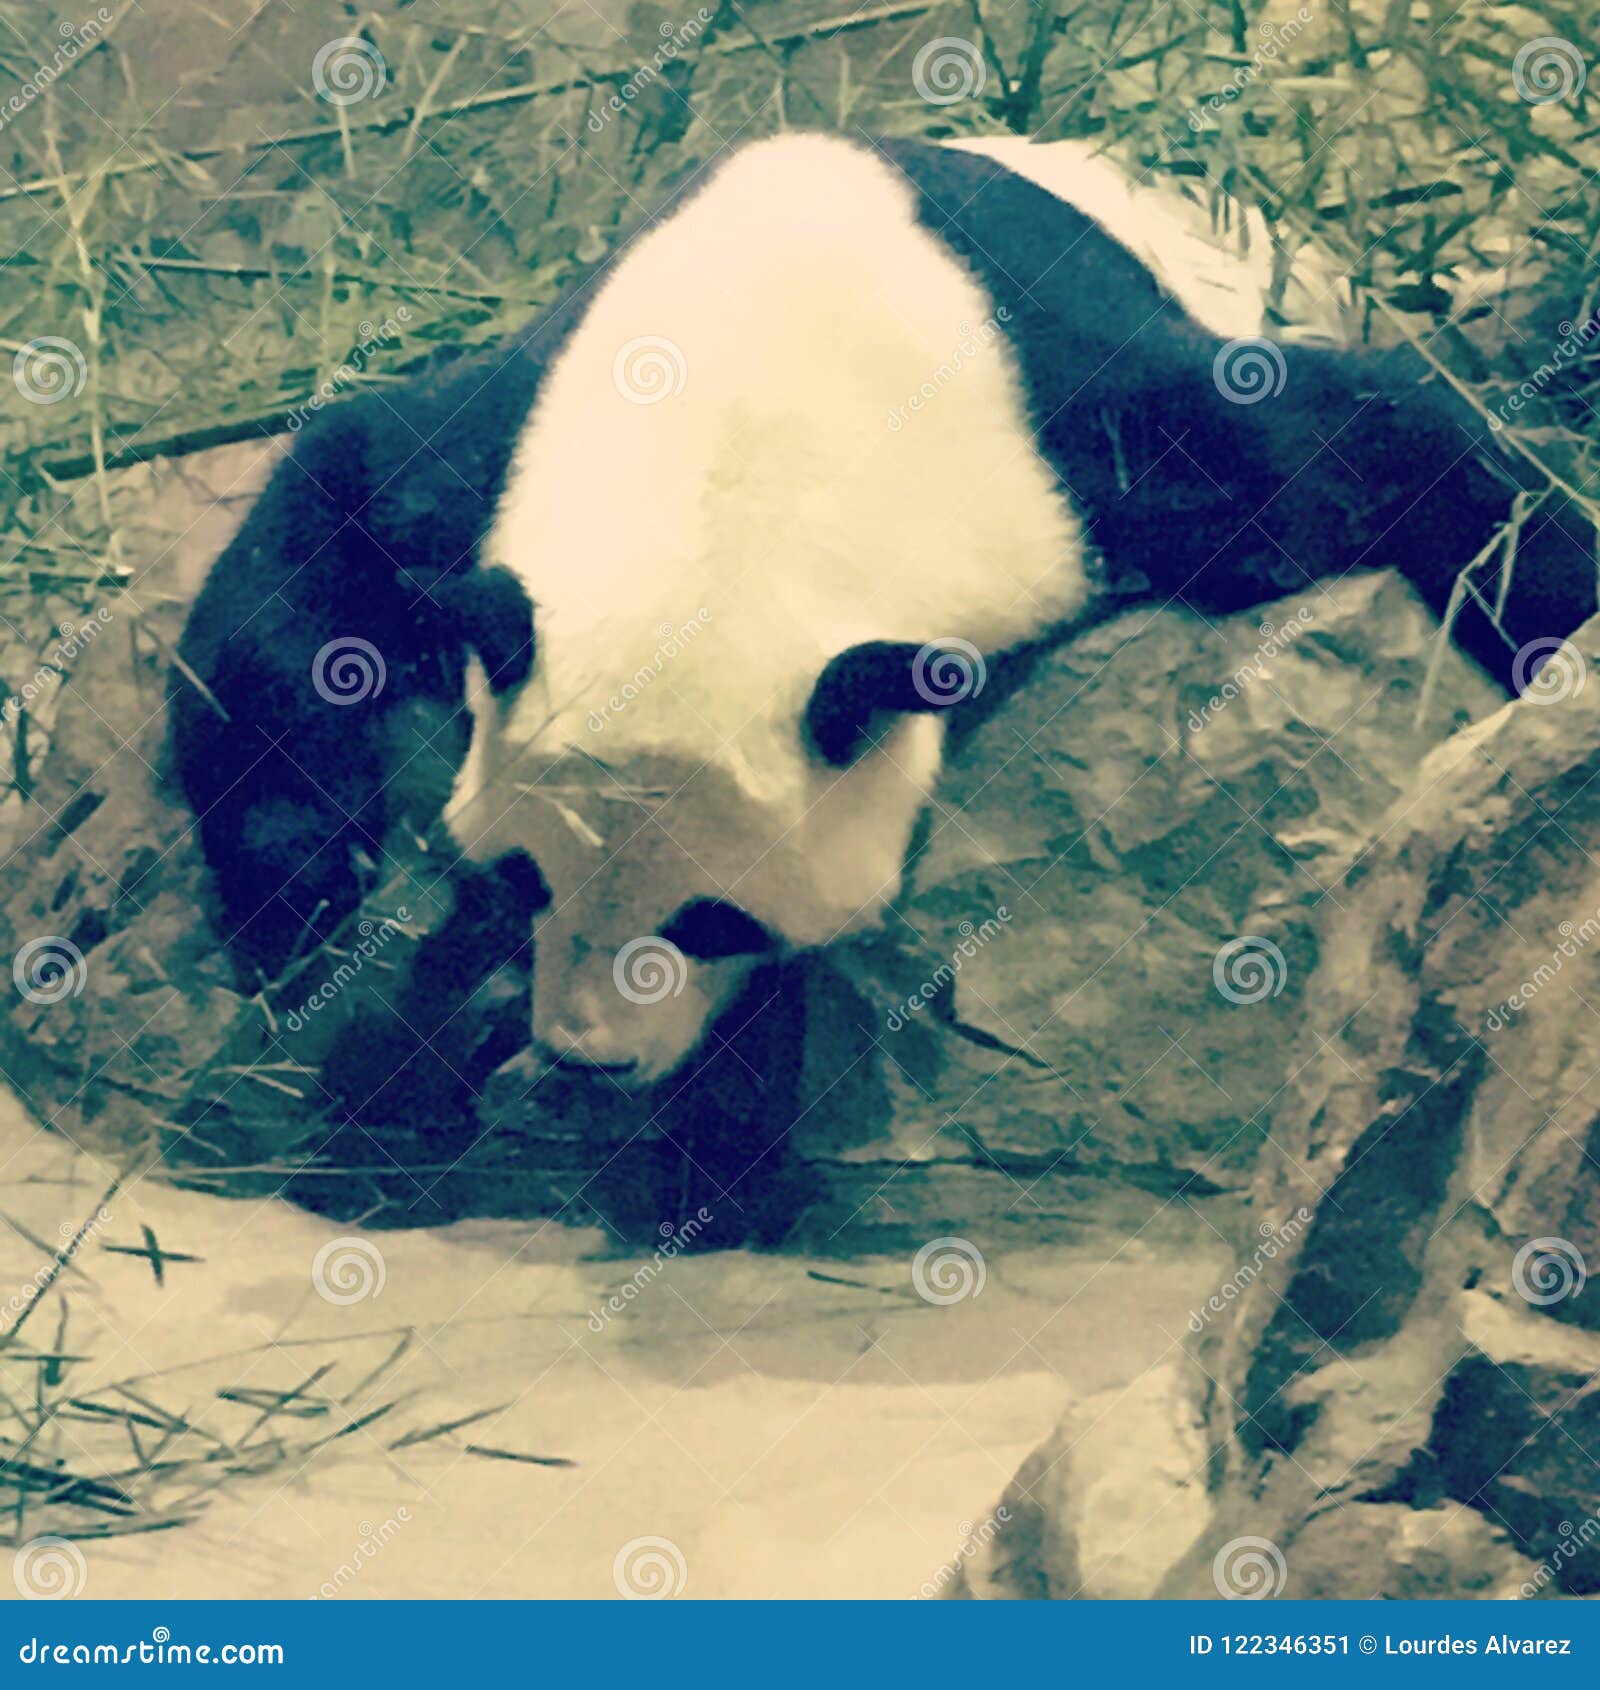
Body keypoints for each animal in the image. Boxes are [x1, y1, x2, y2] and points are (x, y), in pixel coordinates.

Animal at [171, 130, 1599, 1092]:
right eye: (522, 873)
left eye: (710, 920)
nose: (586, 1059)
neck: (740, 474)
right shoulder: (527, 429)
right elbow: (331, 500)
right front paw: (299, 895)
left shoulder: (1067, 444)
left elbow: (1373, 442)